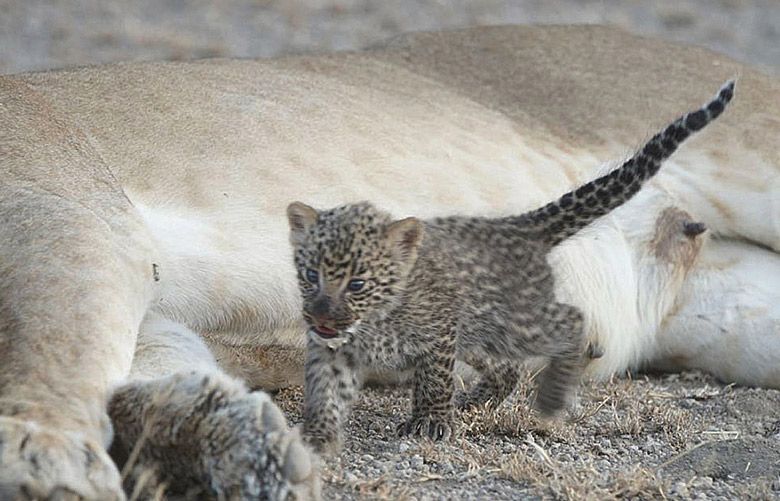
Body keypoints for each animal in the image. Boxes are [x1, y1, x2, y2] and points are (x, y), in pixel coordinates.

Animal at [287, 80, 735, 452]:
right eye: (310, 275)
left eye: (358, 284)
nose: (321, 316)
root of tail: (516, 225)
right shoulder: (334, 350)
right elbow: (326, 390)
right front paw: (316, 435)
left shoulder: (438, 334)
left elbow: (433, 380)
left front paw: (431, 422)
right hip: (481, 331)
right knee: (508, 368)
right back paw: (476, 398)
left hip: (520, 320)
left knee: (574, 322)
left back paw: (548, 393)